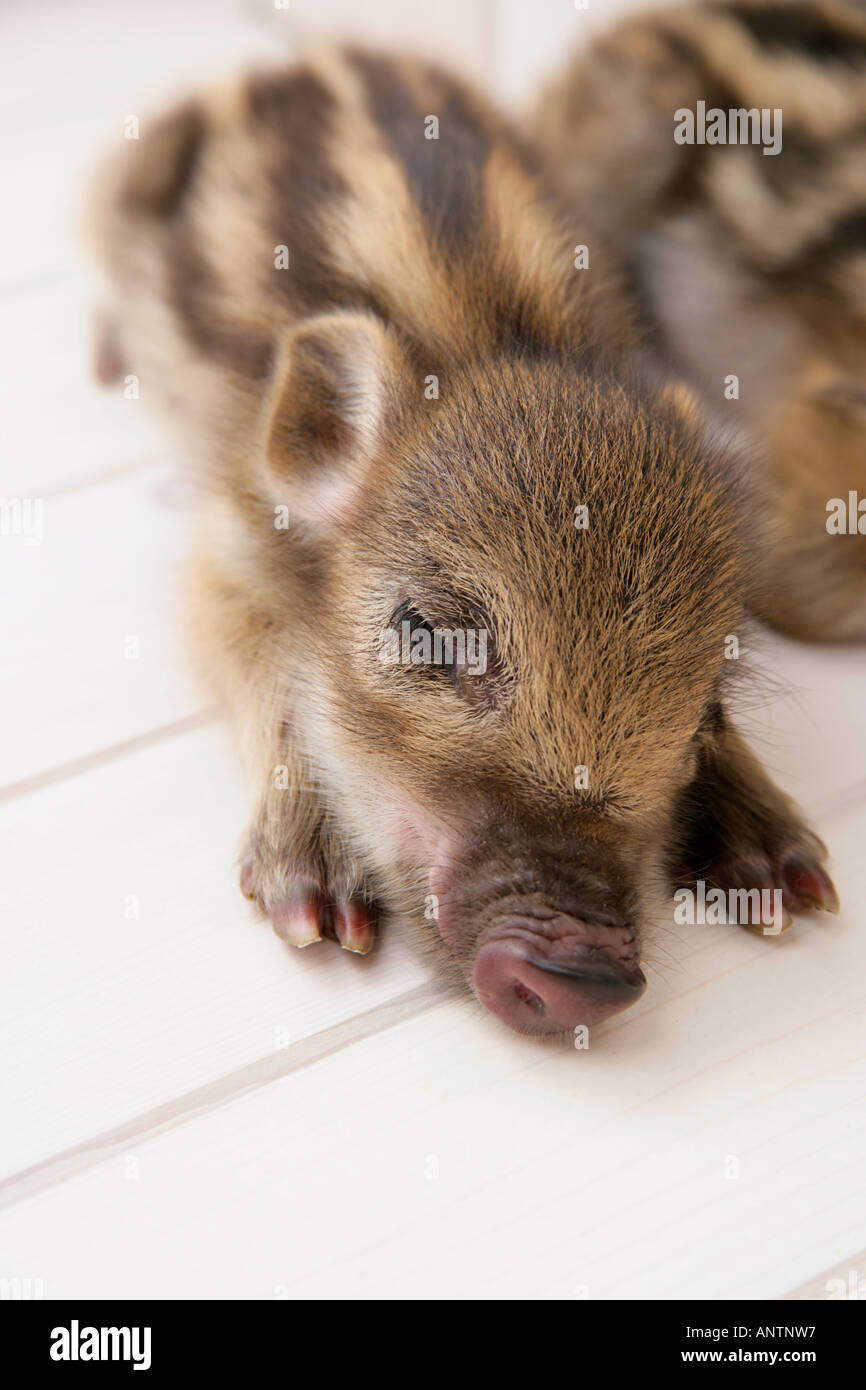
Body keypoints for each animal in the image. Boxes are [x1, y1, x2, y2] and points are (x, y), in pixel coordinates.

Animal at [83, 47, 837, 1037]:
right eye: (431, 636)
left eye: (706, 709)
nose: (587, 977)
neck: (483, 331)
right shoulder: (230, 547)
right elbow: (261, 666)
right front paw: (317, 911)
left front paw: (792, 880)